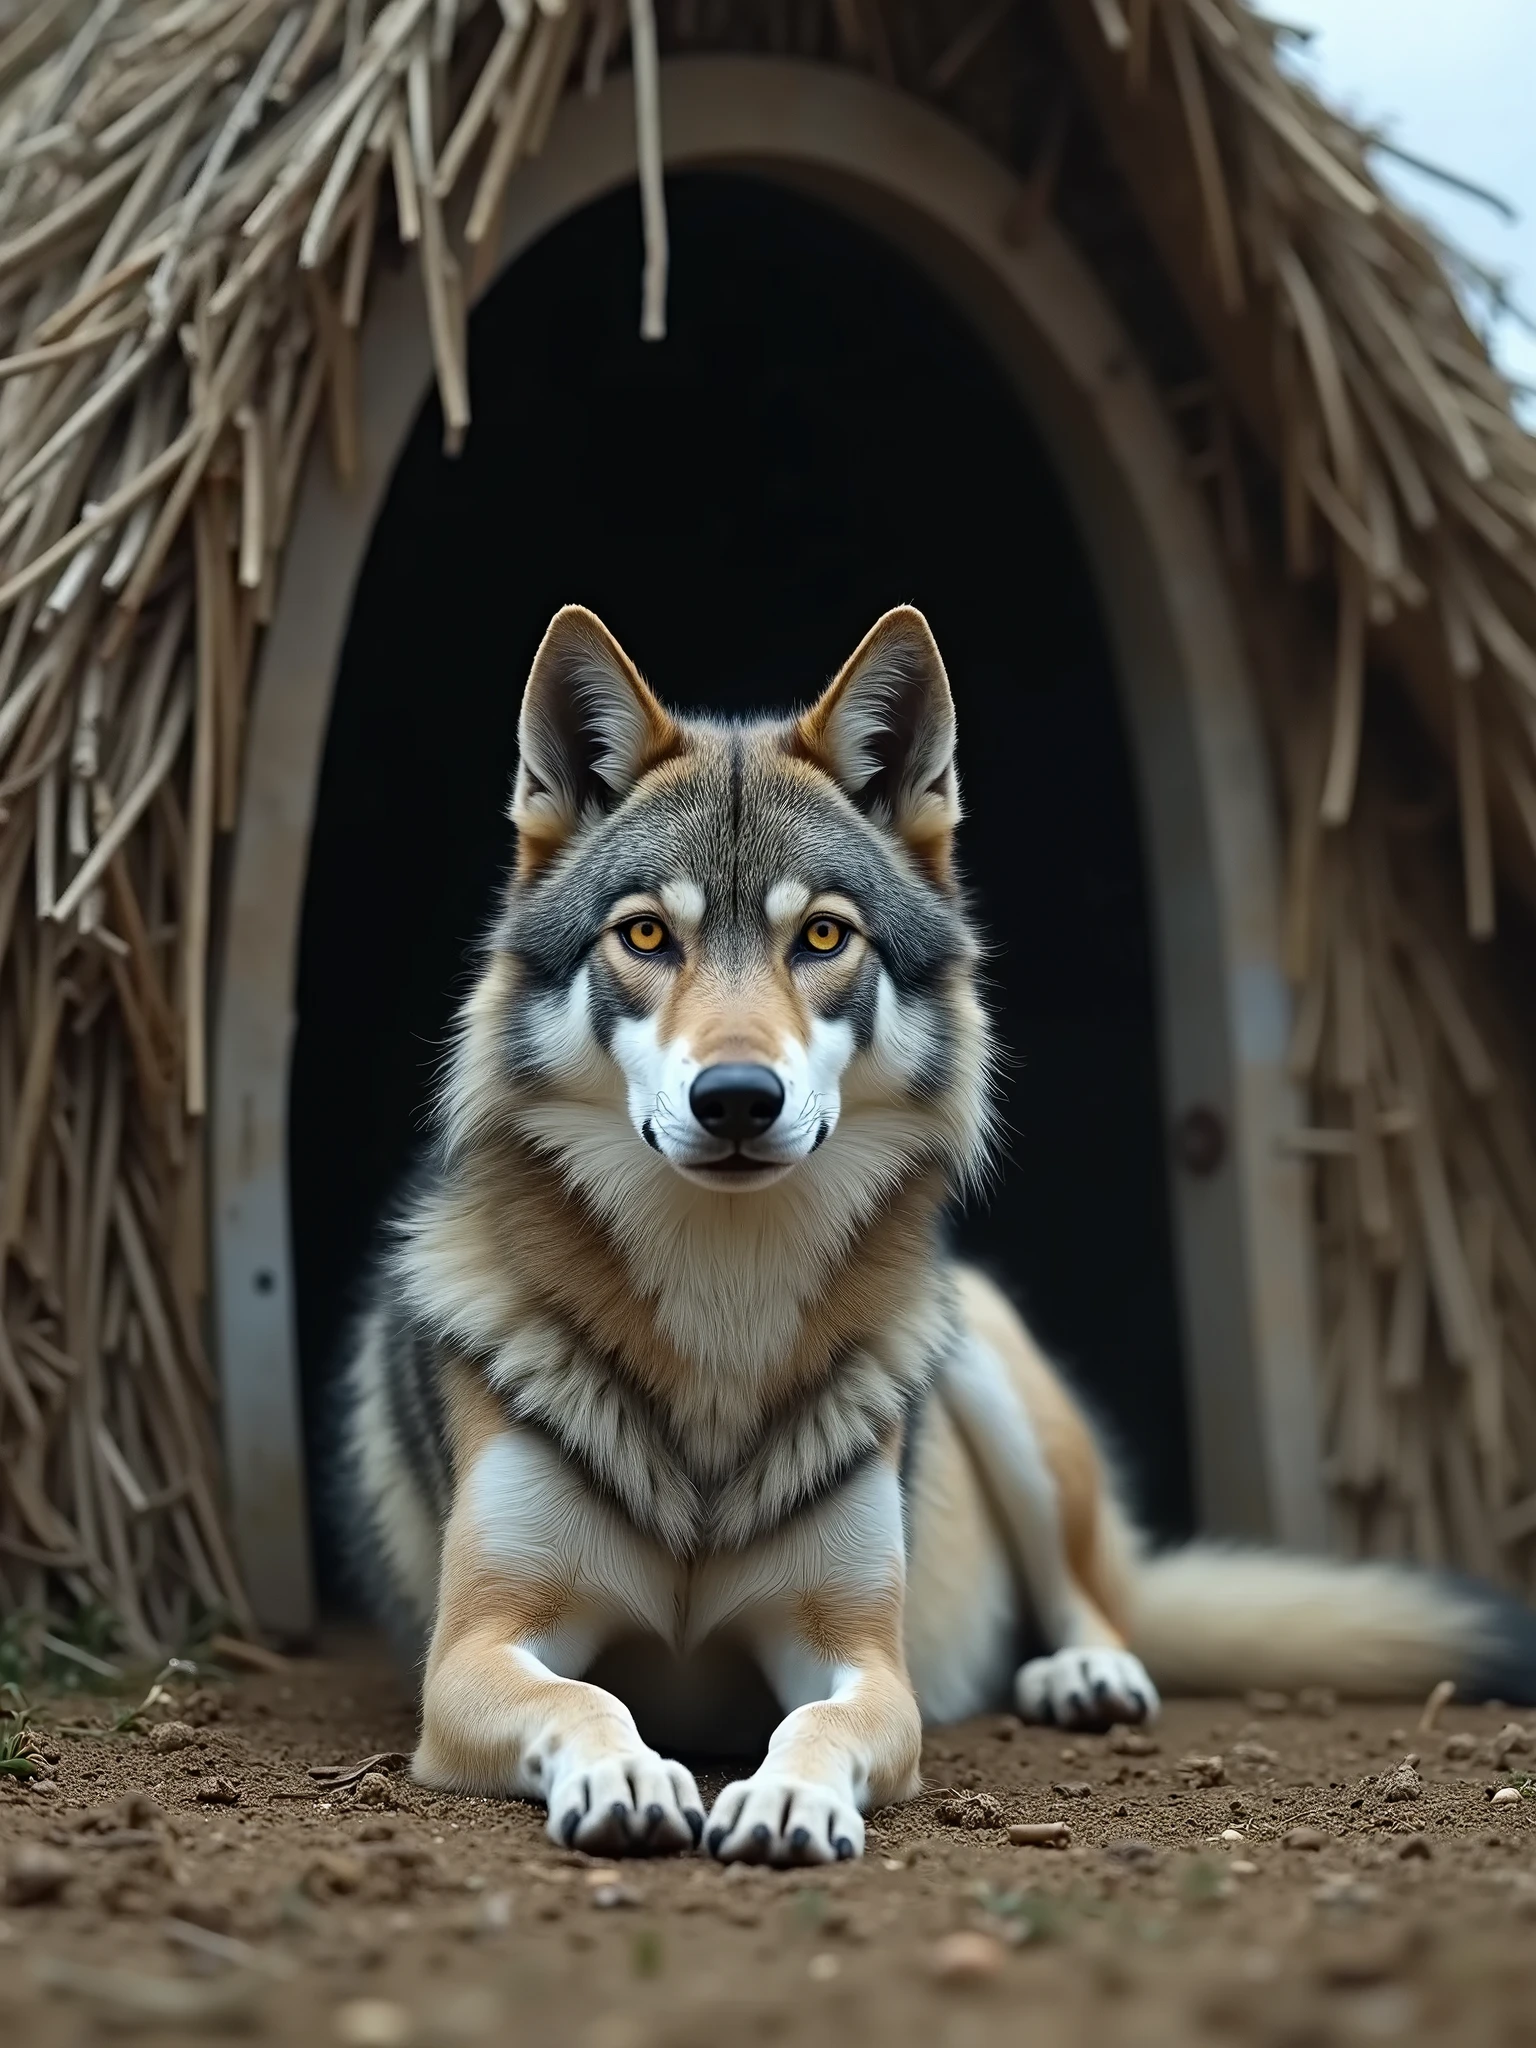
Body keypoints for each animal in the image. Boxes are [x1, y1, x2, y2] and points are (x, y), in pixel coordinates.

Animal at [338, 604, 1536, 1865]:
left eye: (823, 936)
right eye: (648, 934)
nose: (736, 1098)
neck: (724, 1302)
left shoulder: (864, 1655)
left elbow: (819, 1721)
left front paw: (785, 1797)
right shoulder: (471, 1651)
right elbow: (586, 1696)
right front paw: (630, 1774)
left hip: (984, 1372)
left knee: (1100, 1597)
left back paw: (1084, 1674)